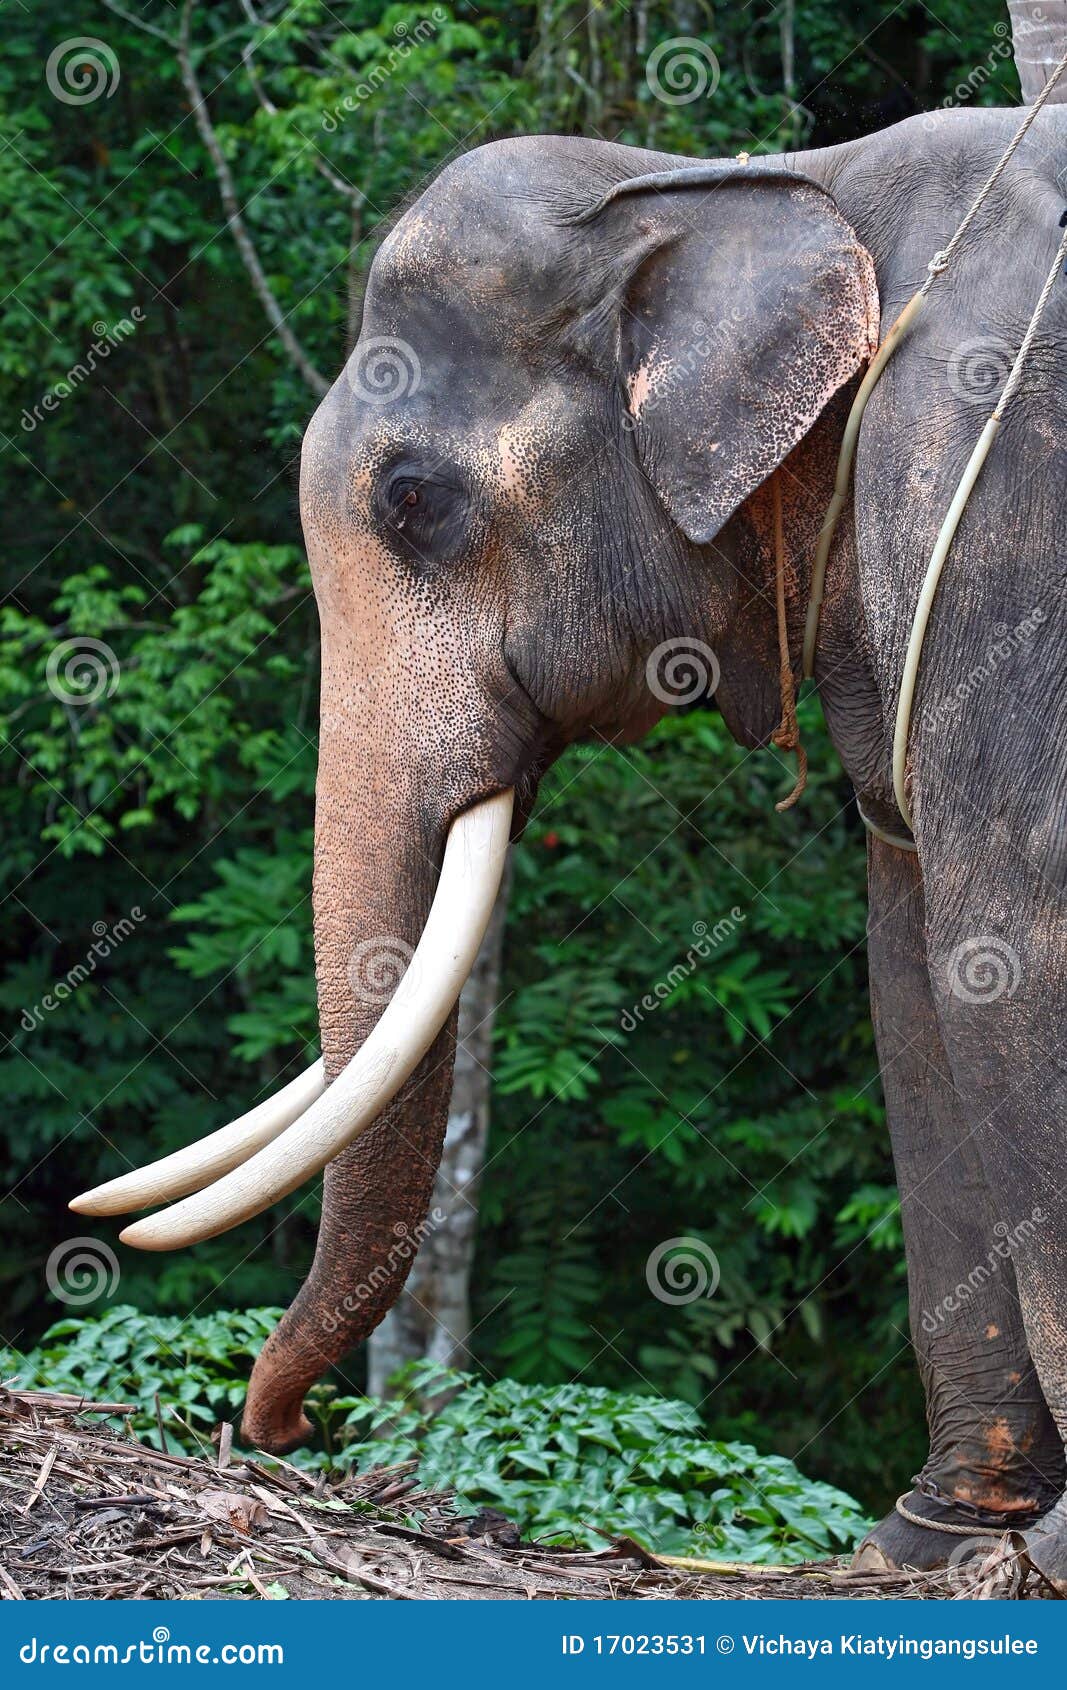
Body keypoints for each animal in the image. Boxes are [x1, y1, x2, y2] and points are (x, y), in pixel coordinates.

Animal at [72, 102, 1067, 1579]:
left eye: (412, 501)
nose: (278, 1431)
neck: (763, 185)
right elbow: (917, 967)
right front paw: (930, 1542)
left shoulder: (996, 507)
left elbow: (1009, 941)